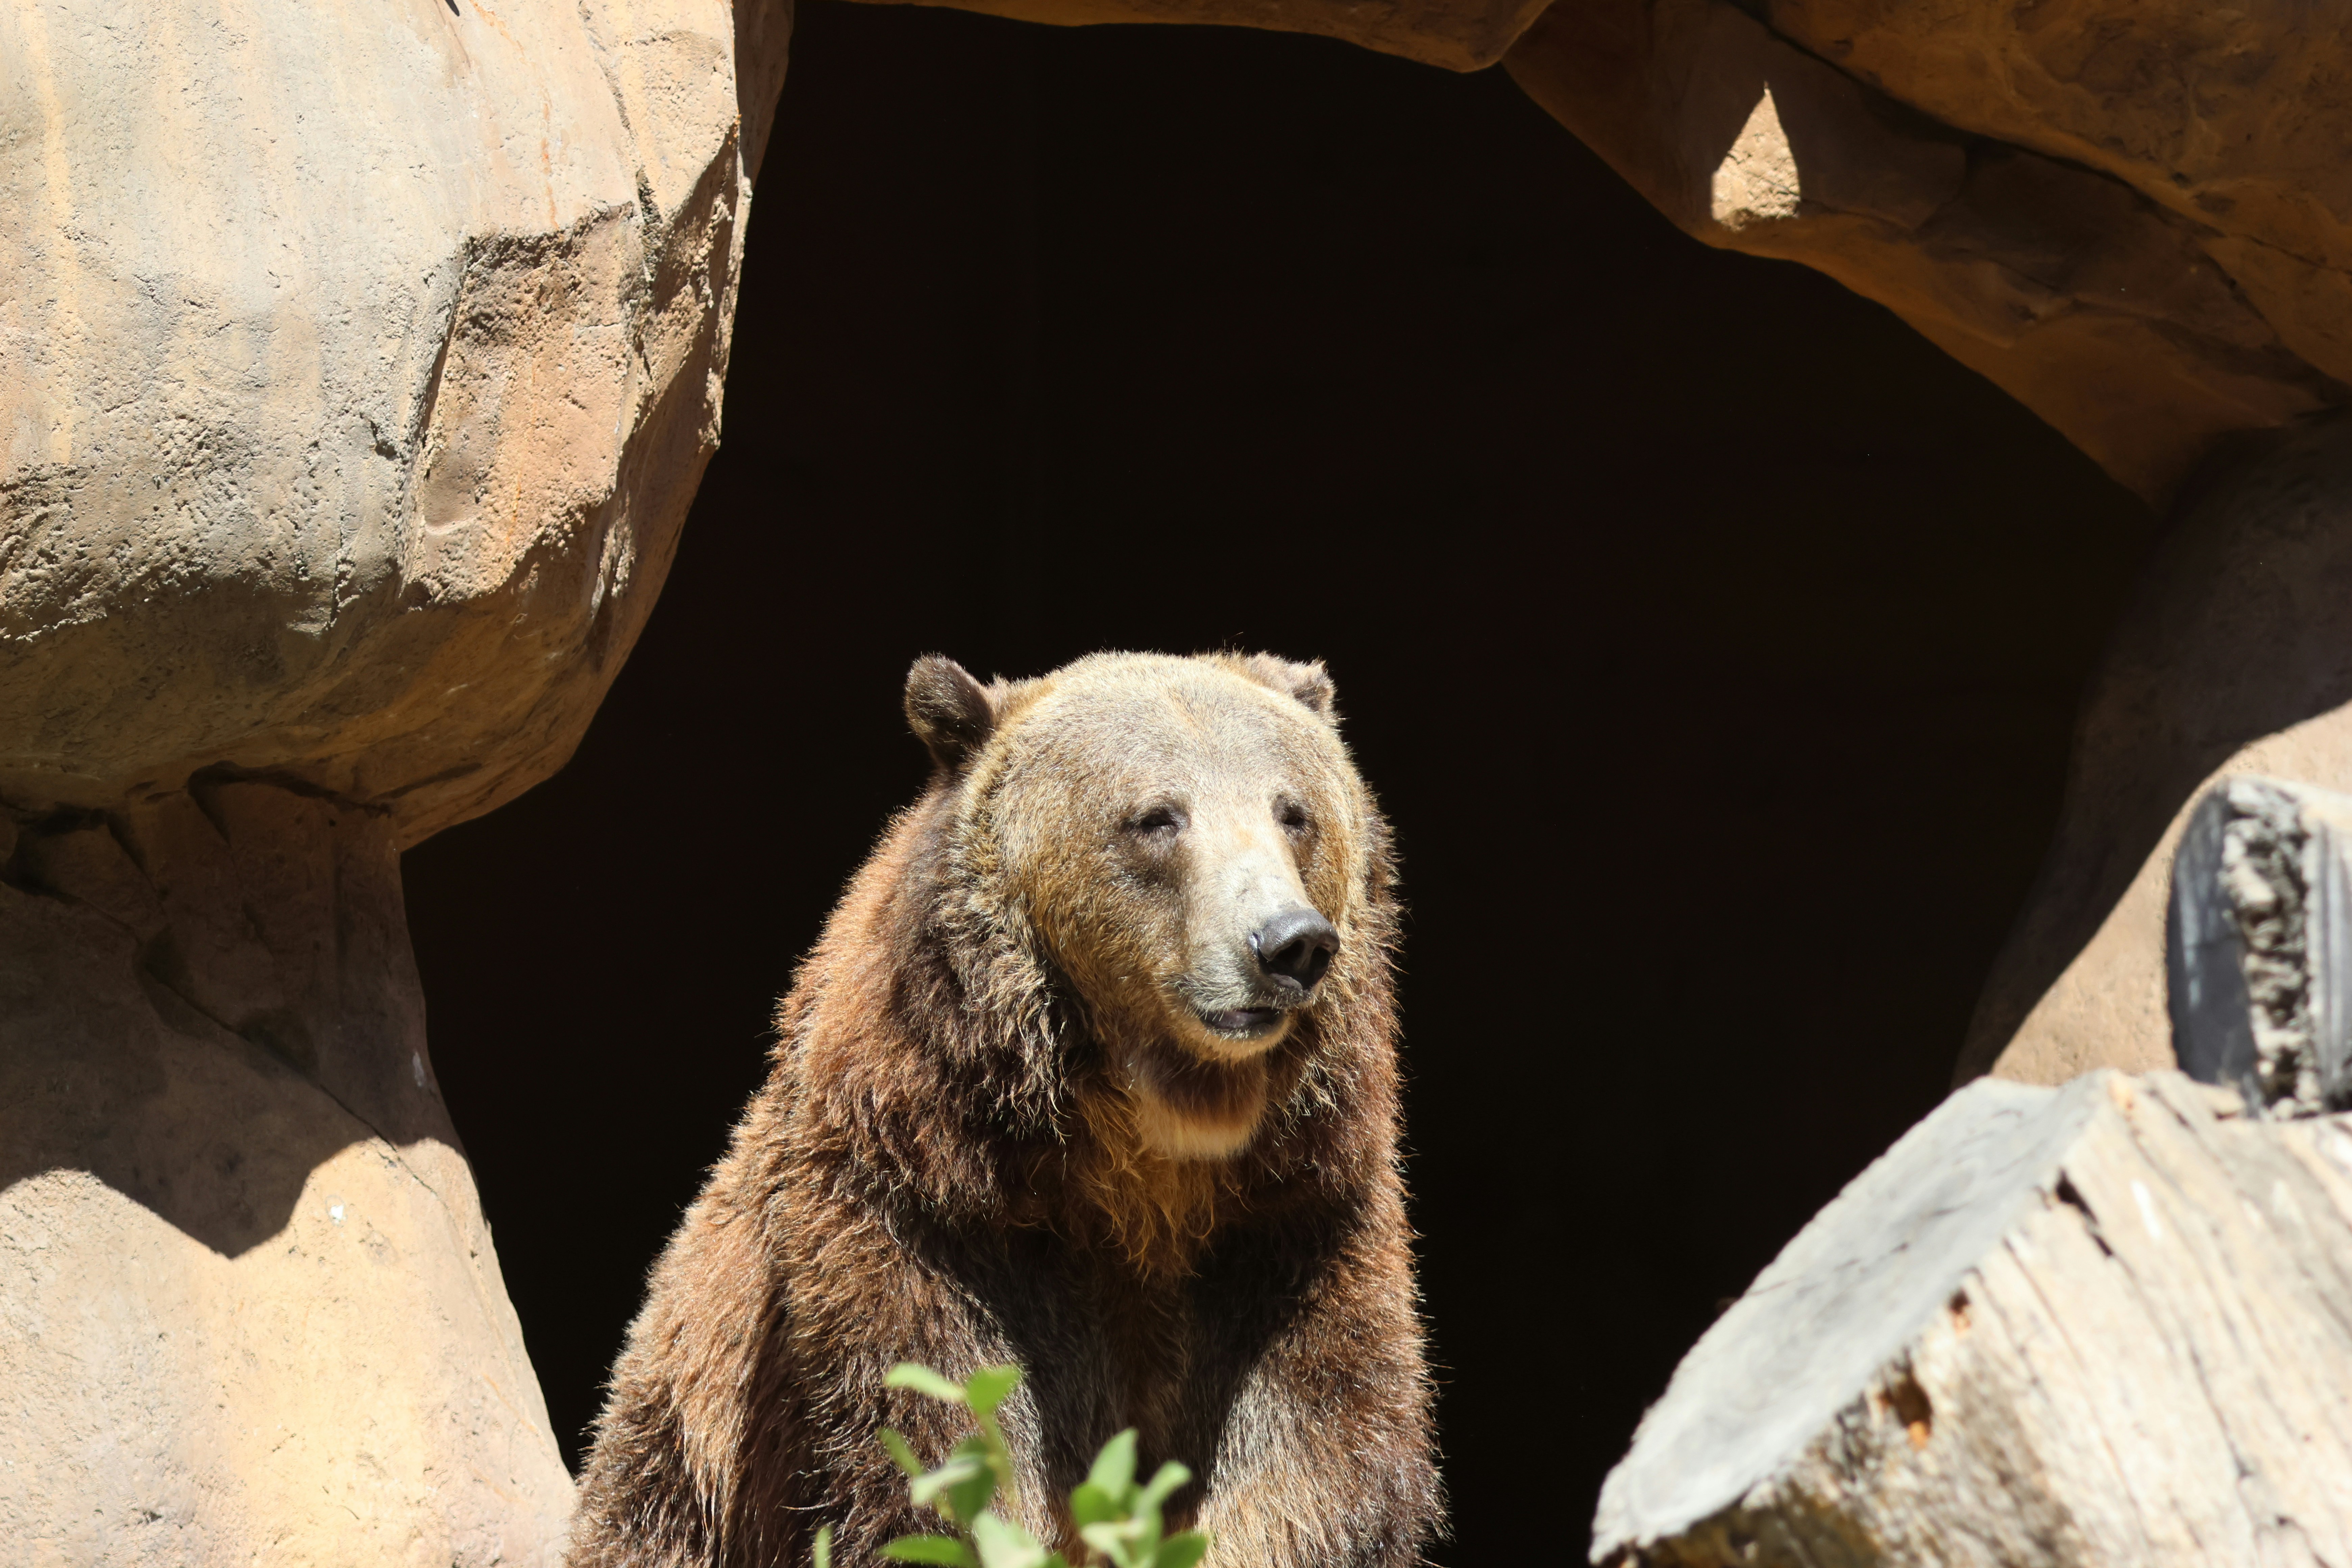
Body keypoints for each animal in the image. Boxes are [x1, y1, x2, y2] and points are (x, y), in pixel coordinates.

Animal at [566, 650, 1441, 1568]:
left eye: (1293, 811)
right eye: (1157, 817)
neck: (1149, 1155)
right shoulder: (928, 1223)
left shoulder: (1294, 1226)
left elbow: (1308, 1460)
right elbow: (943, 1455)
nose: (1288, 942)